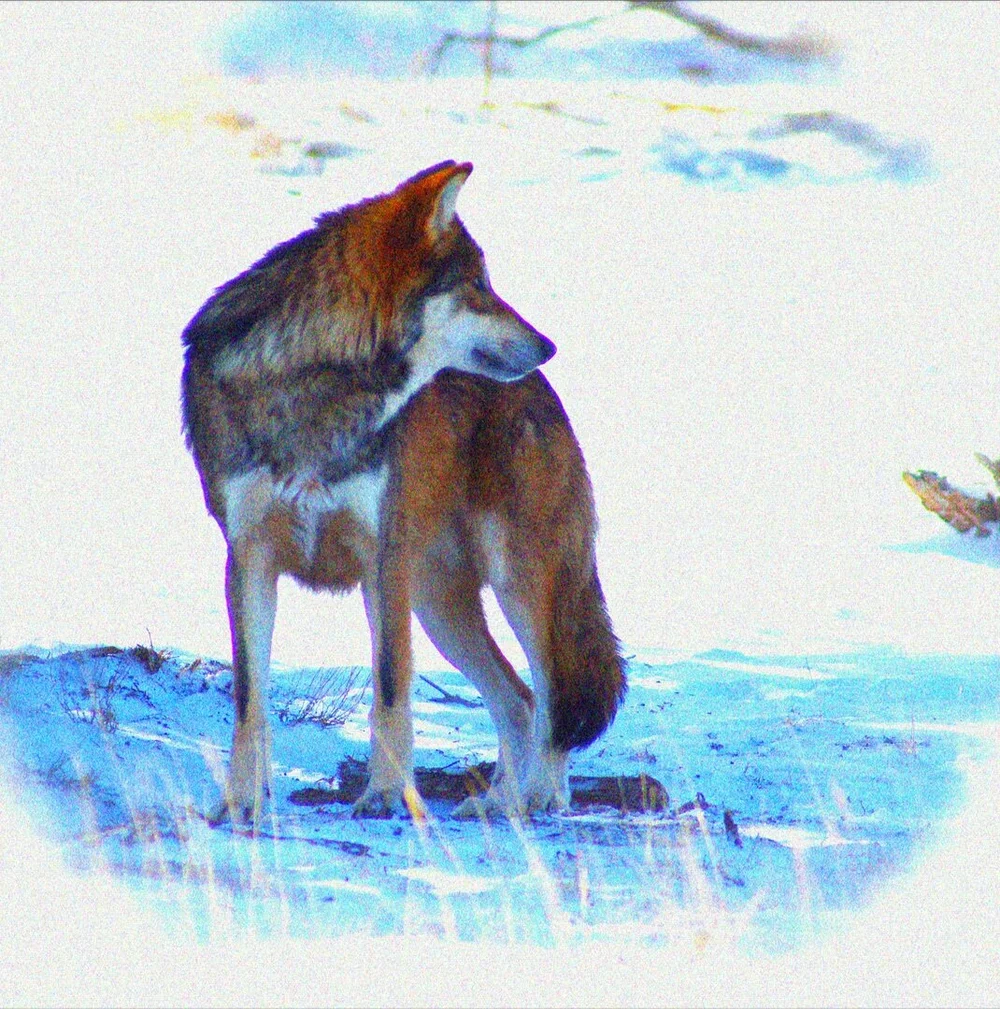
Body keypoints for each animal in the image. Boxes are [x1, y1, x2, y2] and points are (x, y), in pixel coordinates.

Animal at [181, 161, 626, 824]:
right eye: (477, 285)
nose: (547, 345)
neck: (320, 391)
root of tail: (544, 392)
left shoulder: (382, 561)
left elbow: (390, 689)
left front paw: (389, 797)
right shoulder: (248, 561)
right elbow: (248, 702)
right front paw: (240, 806)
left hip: (517, 581)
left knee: (549, 693)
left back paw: (542, 797)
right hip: (440, 607)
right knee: (518, 700)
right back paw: (499, 802)